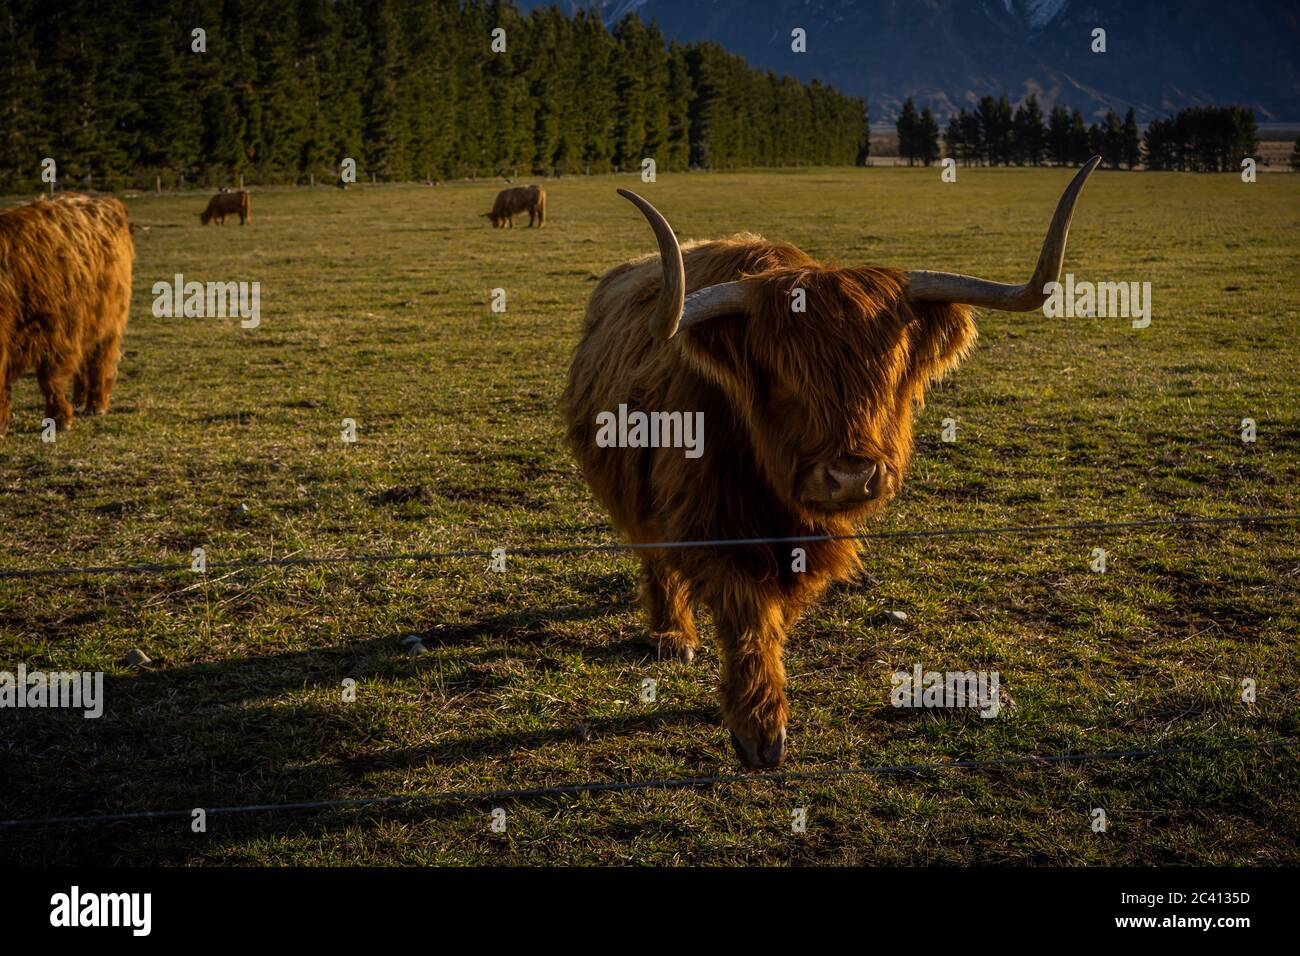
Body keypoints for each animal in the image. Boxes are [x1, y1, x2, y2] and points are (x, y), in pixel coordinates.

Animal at [0, 192, 135, 436]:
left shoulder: (60, 332)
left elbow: (50, 380)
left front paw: (61, 418)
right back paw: (79, 400)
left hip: (109, 322)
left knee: (99, 363)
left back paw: (96, 405)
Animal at [562, 158, 1101, 769]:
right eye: (785, 376)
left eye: (891, 371)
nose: (851, 477)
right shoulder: (711, 518)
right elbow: (747, 610)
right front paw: (758, 726)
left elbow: (779, 608)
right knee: (655, 554)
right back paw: (671, 635)